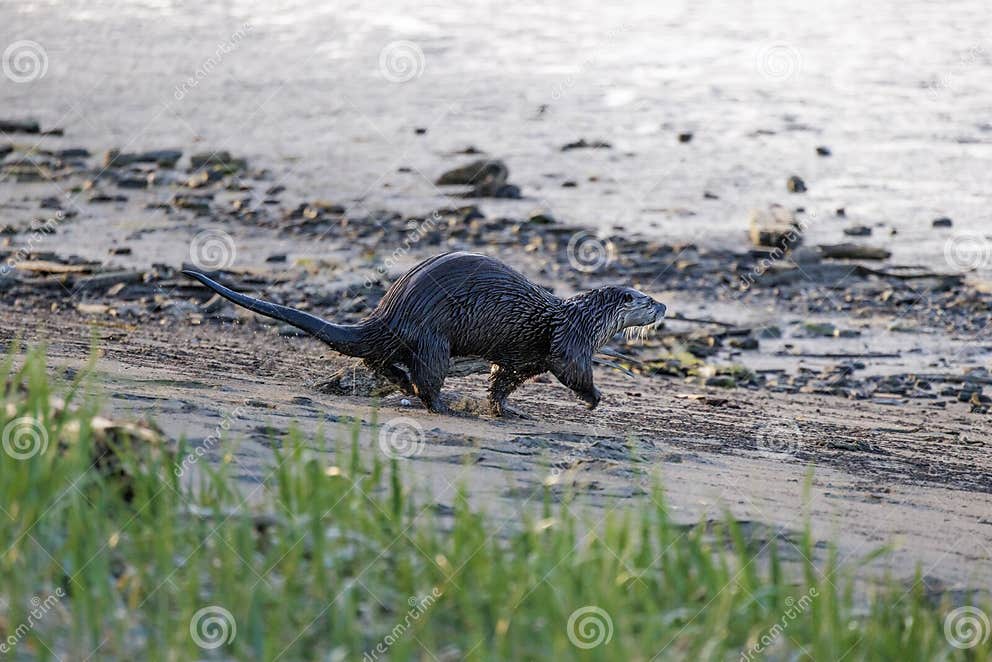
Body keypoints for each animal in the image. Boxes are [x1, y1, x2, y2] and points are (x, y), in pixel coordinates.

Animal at [183, 252, 666, 416]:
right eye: (645, 299)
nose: (664, 306)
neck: (581, 318)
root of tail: (391, 310)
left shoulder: (524, 360)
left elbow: (502, 382)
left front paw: (506, 410)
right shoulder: (570, 343)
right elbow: (572, 372)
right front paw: (596, 398)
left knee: (381, 362)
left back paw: (404, 387)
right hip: (433, 336)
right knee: (426, 376)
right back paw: (442, 404)